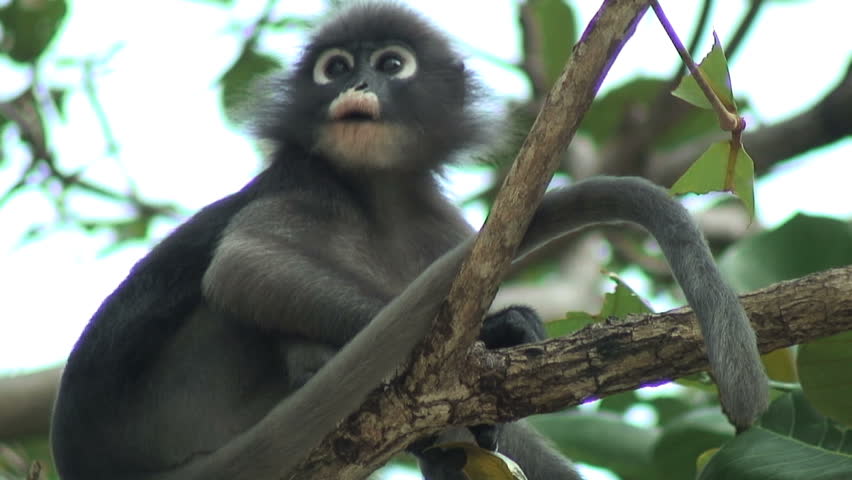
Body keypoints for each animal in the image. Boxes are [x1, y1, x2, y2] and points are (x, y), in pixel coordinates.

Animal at [49, 3, 768, 480]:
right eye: (335, 67)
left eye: (391, 64)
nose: (357, 84)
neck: (378, 197)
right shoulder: (307, 185)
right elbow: (244, 268)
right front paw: (496, 334)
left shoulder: (443, 226)